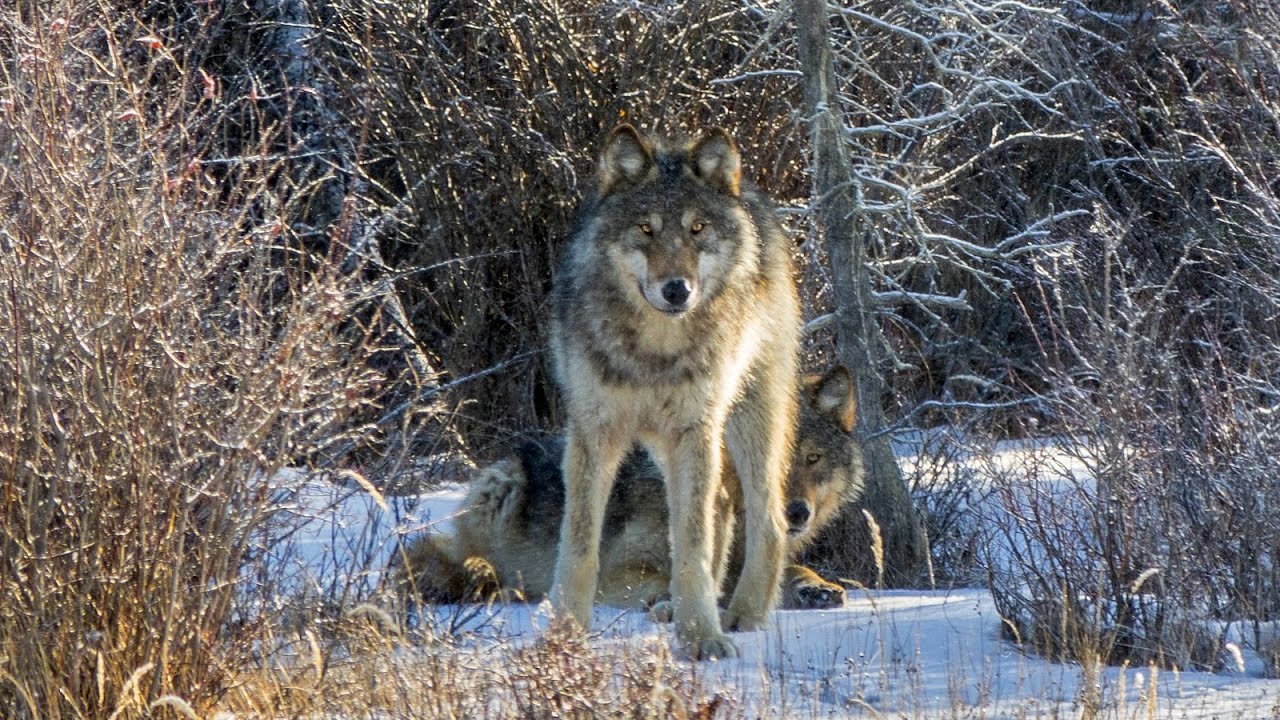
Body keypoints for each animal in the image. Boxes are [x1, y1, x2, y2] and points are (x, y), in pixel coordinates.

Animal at [403, 365, 864, 614]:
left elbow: (791, 573)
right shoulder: (618, 571)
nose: (795, 513)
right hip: (504, 486)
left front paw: (816, 586)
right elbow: (665, 579)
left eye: (812, 458)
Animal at [547, 125, 801, 659]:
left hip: (748, 419)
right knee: (722, 500)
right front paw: (564, 639)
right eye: (646, 229)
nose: (677, 289)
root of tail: (749, 194)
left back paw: (744, 612)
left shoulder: (693, 429)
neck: (655, 349)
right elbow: (578, 547)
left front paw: (702, 636)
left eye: (697, 229)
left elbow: (690, 546)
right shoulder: (592, 433)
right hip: (667, 444)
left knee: (769, 517)